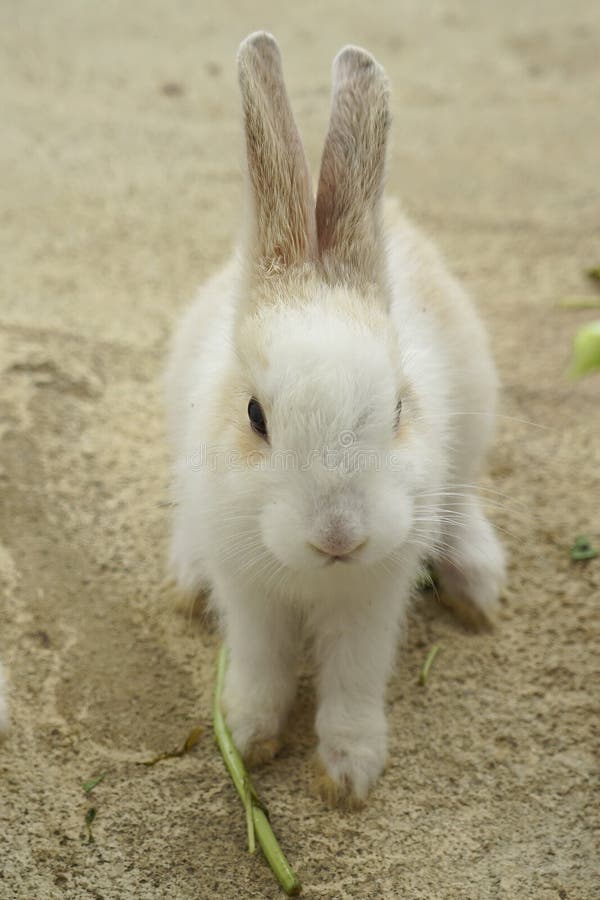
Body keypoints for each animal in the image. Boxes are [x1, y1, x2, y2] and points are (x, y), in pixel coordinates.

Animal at [165, 32, 506, 807]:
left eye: (399, 407)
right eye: (255, 416)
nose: (340, 537)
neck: (314, 575)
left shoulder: (370, 602)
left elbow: (352, 680)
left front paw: (348, 773)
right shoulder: (250, 594)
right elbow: (261, 663)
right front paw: (248, 738)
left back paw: (476, 581)